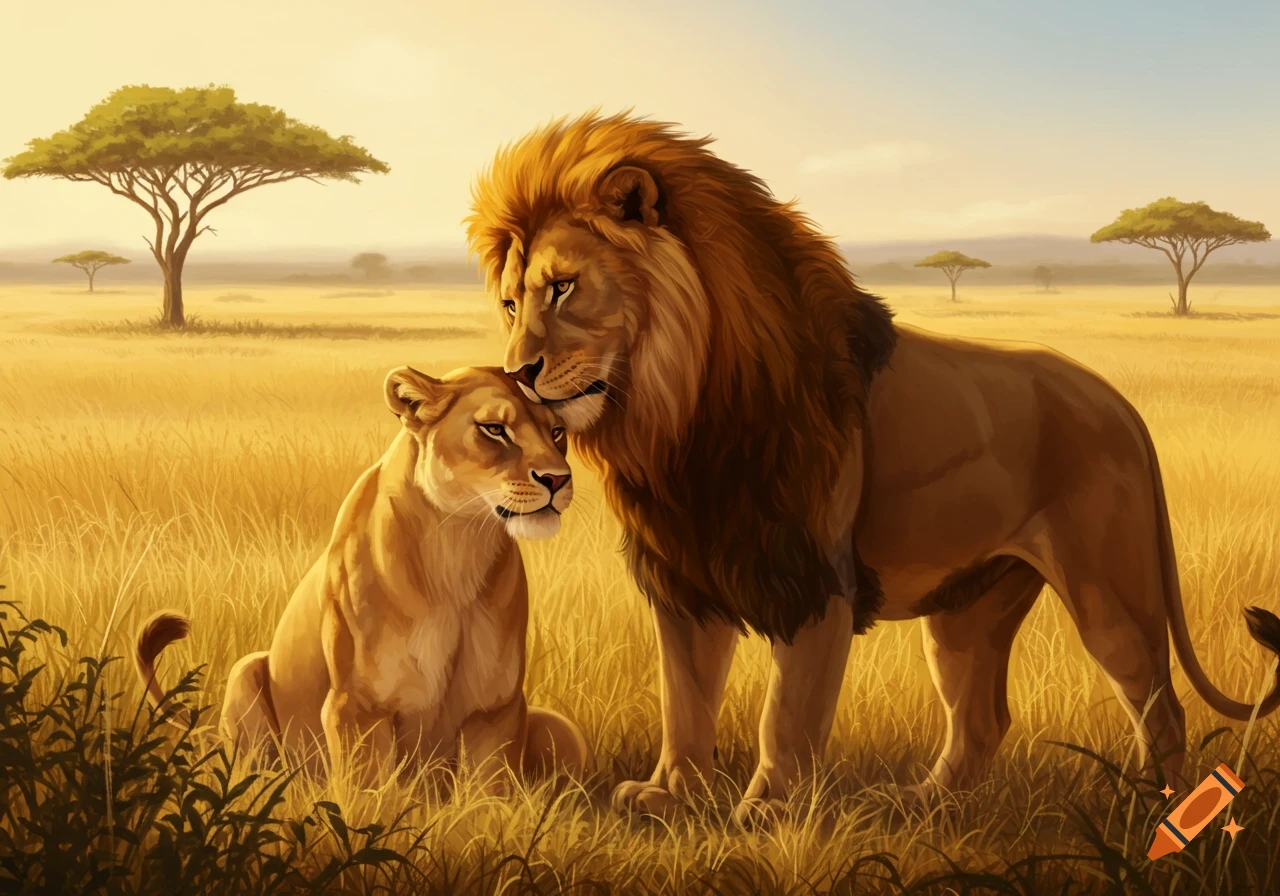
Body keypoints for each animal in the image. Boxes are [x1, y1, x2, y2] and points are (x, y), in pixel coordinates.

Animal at [135, 365, 589, 792]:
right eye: (494, 429)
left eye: (557, 432)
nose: (558, 479)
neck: (457, 549)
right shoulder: (356, 705)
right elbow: (365, 795)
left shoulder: (496, 710)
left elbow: (489, 796)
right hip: (245, 674)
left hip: (562, 728)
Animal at [464, 111, 1280, 826]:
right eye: (509, 304)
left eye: (564, 286)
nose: (518, 373)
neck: (680, 418)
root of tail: (1123, 405)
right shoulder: (686, 579)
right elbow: (685, 699)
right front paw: (670, 794)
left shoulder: (816, 581)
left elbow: (787, 713)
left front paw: (769, 810)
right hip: (968, 610)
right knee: (983, 718)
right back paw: (923, 804)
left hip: (1110, 591)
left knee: (1159, 704)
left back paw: (1151, 811)